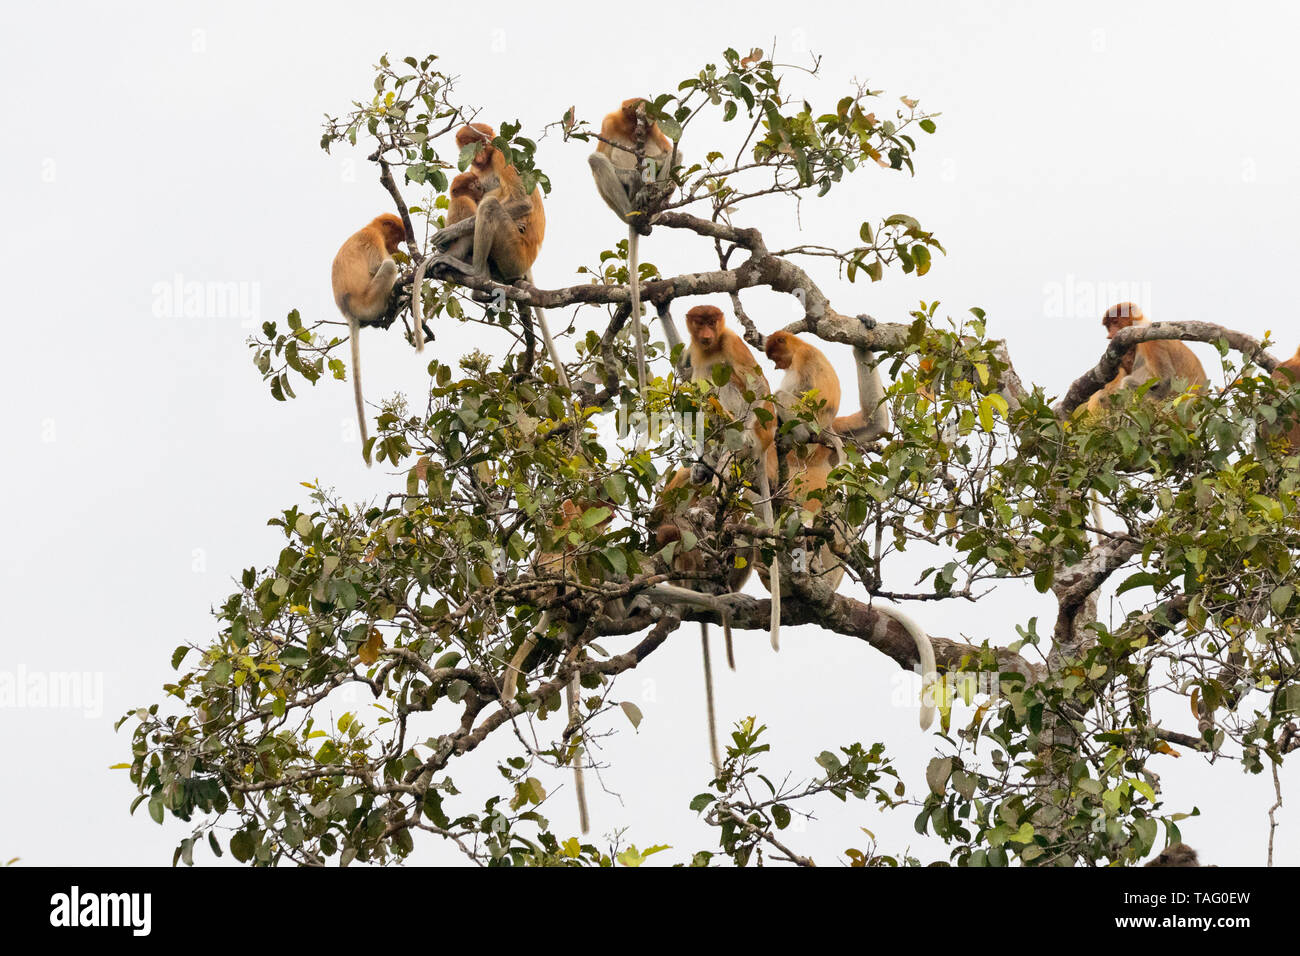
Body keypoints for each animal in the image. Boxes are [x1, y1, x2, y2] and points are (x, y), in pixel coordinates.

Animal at [330, 213, 407, 456]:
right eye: (397, 237)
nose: (396, 248)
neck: (370, 227)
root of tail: (349, 312)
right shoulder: (373, 239)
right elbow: (376, 267)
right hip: (369, 300)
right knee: (388, 266)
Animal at [588, 99, 681, 393]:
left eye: (651, 115)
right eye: (632, 112)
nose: (645, 121)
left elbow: (668, 152)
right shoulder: (609, 123)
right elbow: (602, 154)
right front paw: (633, 177)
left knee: (675, 156)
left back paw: (651, 205)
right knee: (596, 160)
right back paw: (635, 207)